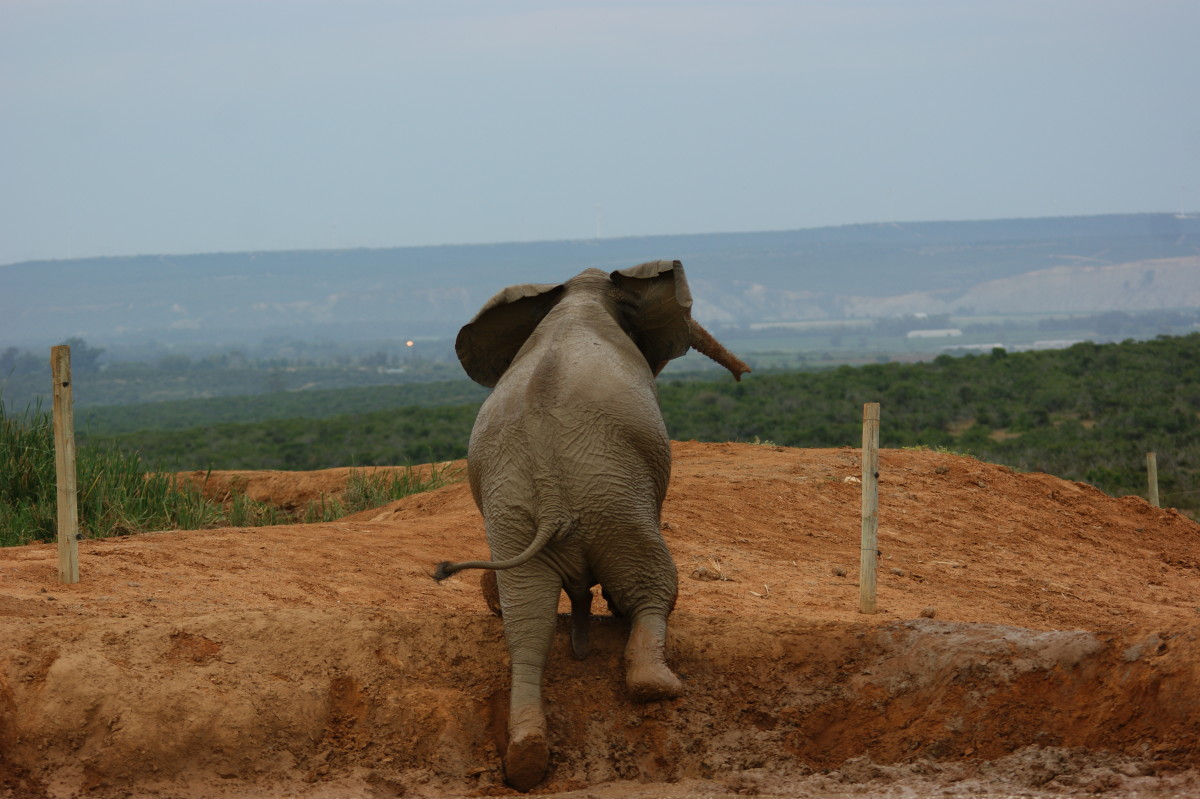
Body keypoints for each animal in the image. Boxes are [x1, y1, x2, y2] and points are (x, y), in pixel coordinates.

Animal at [433, 260, 749, 791]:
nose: (745, 377)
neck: (578, 293)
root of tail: (549, 491)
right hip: (613, 497)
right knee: (651, 582)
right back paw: (656, 686)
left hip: (518, 511)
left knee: (528, 625)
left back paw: (525, 759)